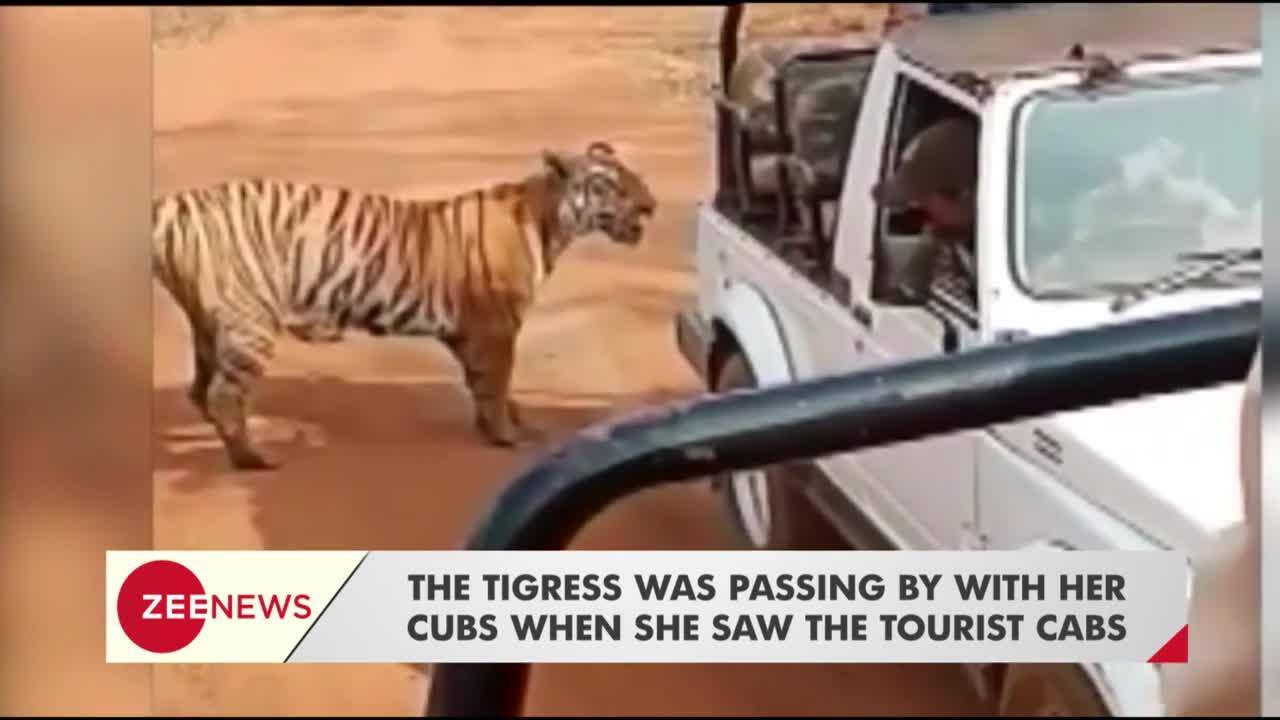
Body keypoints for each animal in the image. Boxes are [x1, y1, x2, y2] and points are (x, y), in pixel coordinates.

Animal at [152, 141, 657, 471]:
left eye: (635, 179)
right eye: (610, 185)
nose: (651, 206)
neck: (551, 222)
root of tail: (178, 203)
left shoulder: (470, 332)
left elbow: (487, 386)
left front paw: (507, 425)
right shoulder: (496, 327)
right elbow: (496, 385)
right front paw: (506, 436)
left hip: (210, 324)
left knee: (201, 390)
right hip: (250, 322)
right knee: (223, 394)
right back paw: (253, 458)